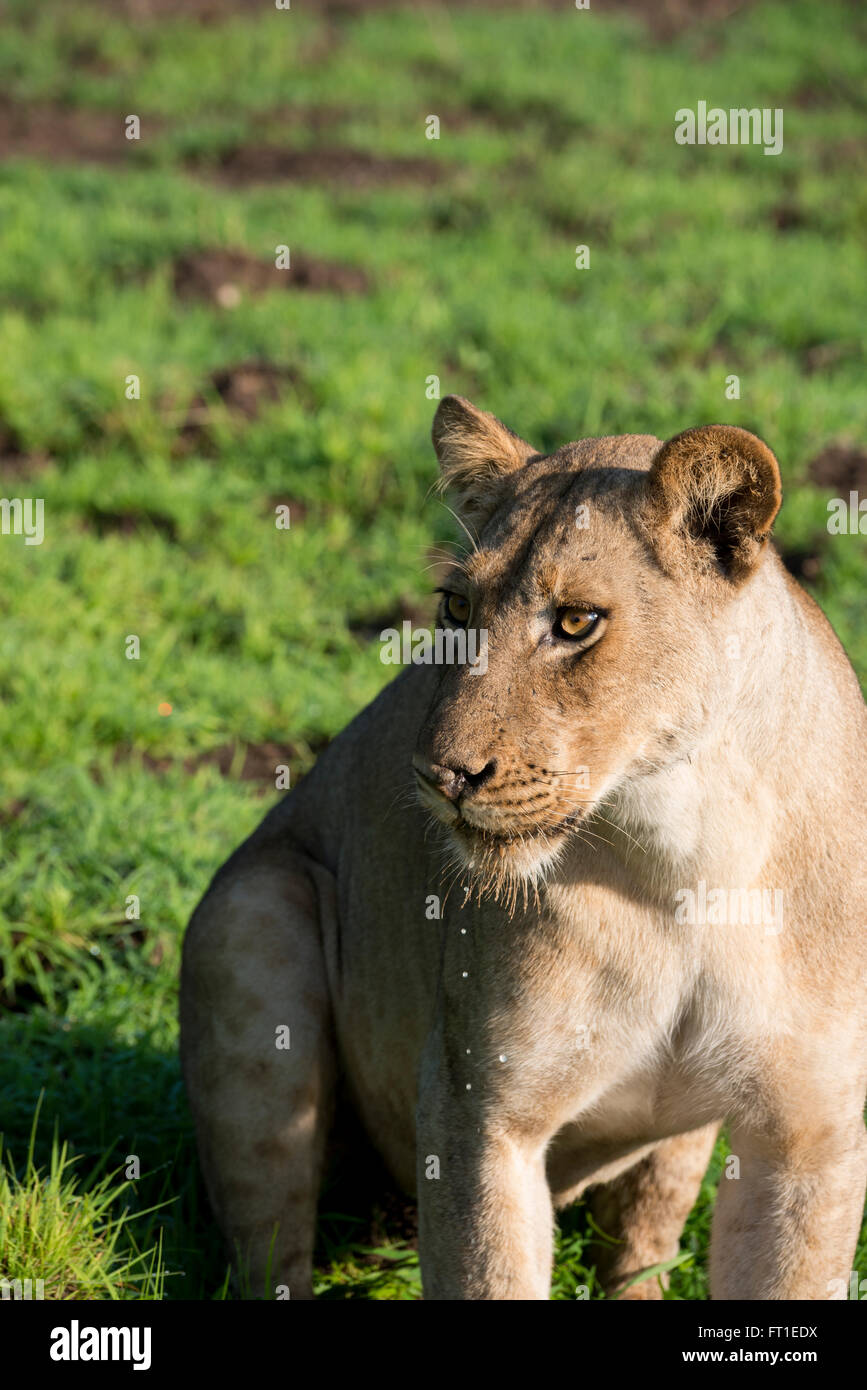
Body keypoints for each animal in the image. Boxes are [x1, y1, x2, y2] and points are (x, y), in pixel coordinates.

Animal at [180, 396, 867, 1300]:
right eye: (454, 609)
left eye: (575, 621)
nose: (439, 775)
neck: (685, 859)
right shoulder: (480, 1113)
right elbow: (488, 1273)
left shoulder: (808, 1133)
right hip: (253, 914)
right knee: (271, 1250)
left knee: (642, 1238)